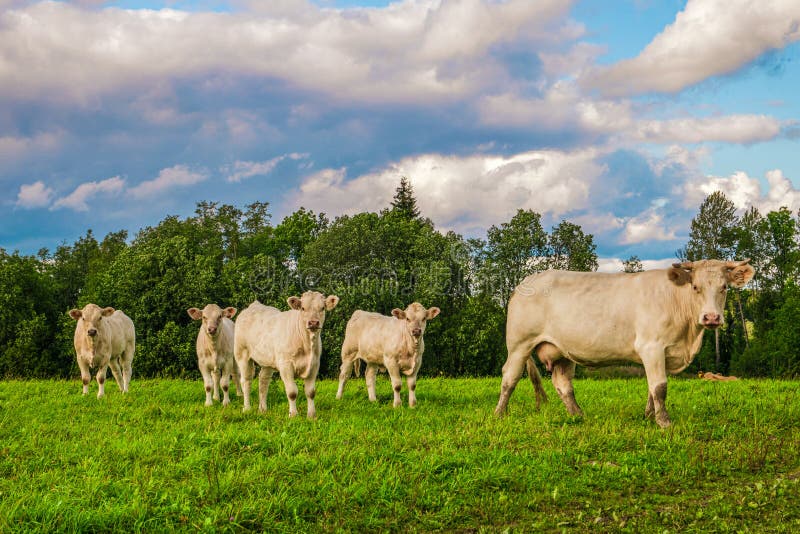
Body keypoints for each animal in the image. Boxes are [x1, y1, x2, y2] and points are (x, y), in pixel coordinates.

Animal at [494, 259, 755, 428]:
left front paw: (649, 416)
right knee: (509, 378)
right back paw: (500, 414)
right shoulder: (651, 346)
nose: (711, 318)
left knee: (562, 383)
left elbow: (652, 387)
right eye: (695, 287)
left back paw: (579, 416)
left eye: (724, 287)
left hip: (562, 351)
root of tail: (528, 280)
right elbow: (660, 387)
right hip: (519, 344)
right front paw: (664, 422)